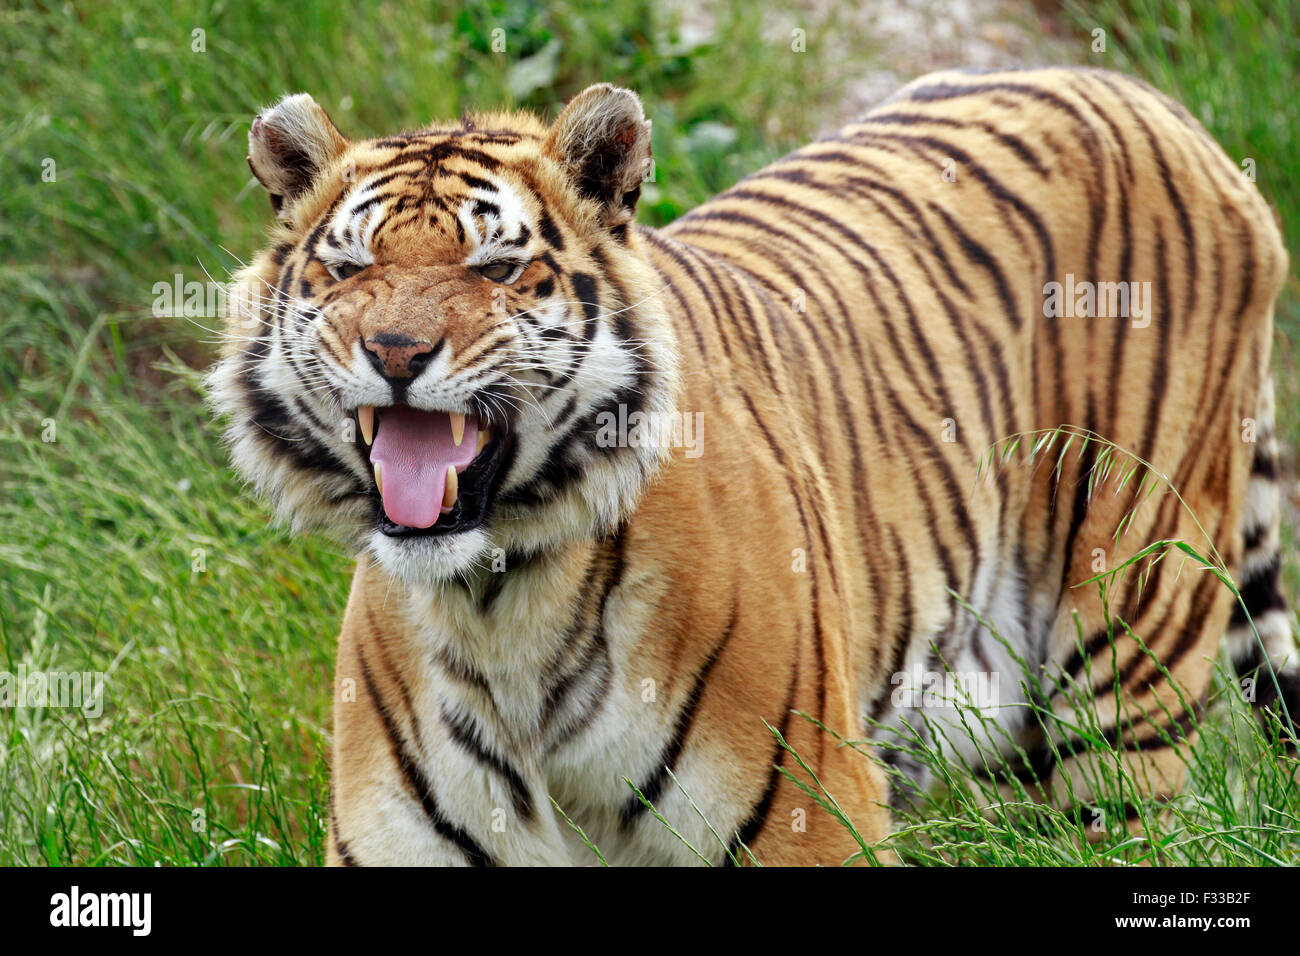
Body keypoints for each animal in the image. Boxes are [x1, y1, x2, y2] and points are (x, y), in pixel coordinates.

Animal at [208, 67, 1297, 866]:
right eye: (349, 268)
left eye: (497, 268)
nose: (394, 351)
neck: (500, 604)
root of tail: (1156, 102)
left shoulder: (807, 825)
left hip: (1125, 675)